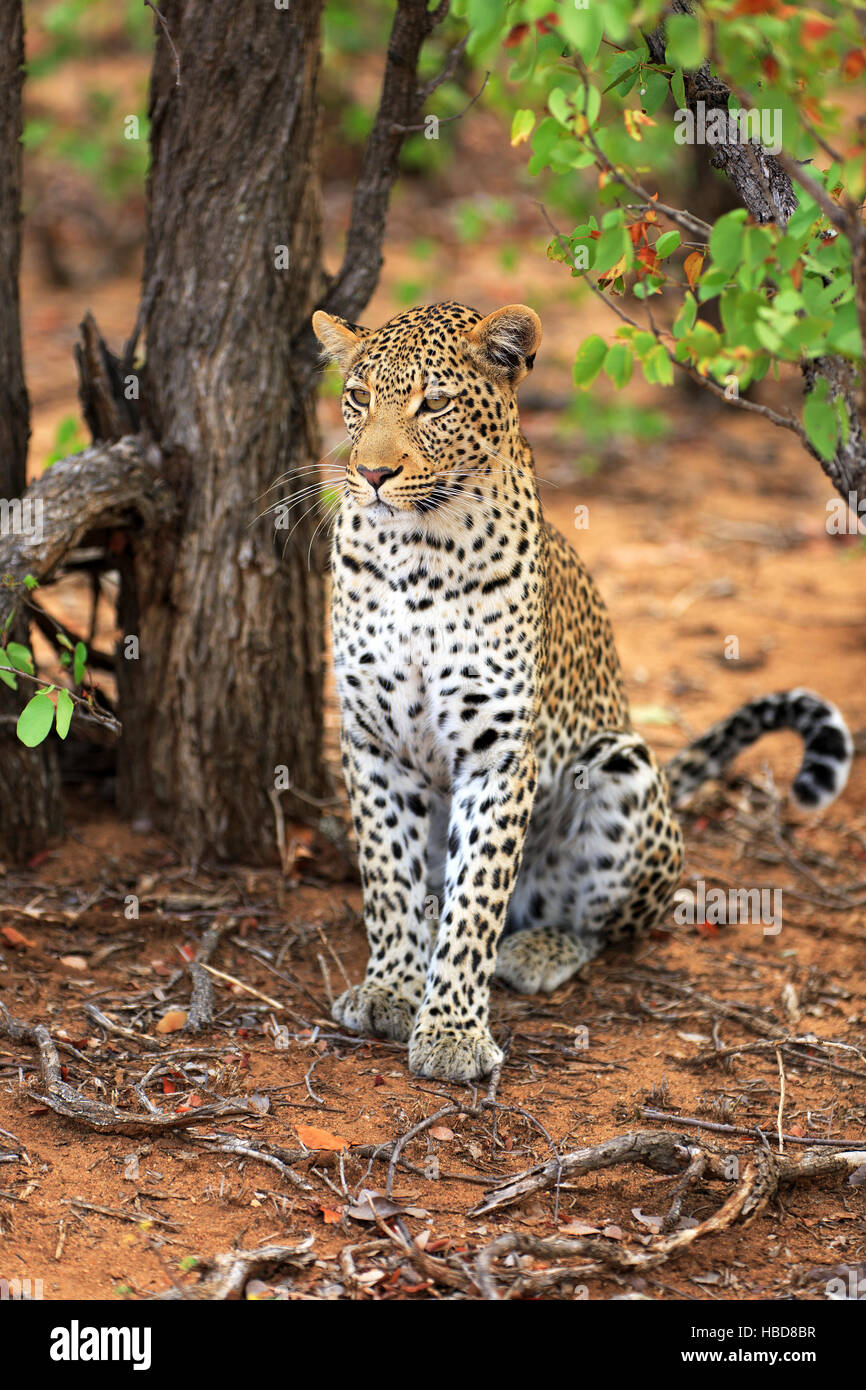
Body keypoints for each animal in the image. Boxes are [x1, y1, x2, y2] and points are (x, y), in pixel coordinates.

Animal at [311, 300, 853, 1083]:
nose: (370, 473)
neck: (415, 552)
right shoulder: (372, 740)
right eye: (358, 398)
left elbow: (477, 900)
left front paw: (451, 1032)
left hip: (623, 764)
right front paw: (391, 988)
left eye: (433, 404)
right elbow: (388, 876)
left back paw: (540, 948)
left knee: (604, 921)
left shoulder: (498, 752)